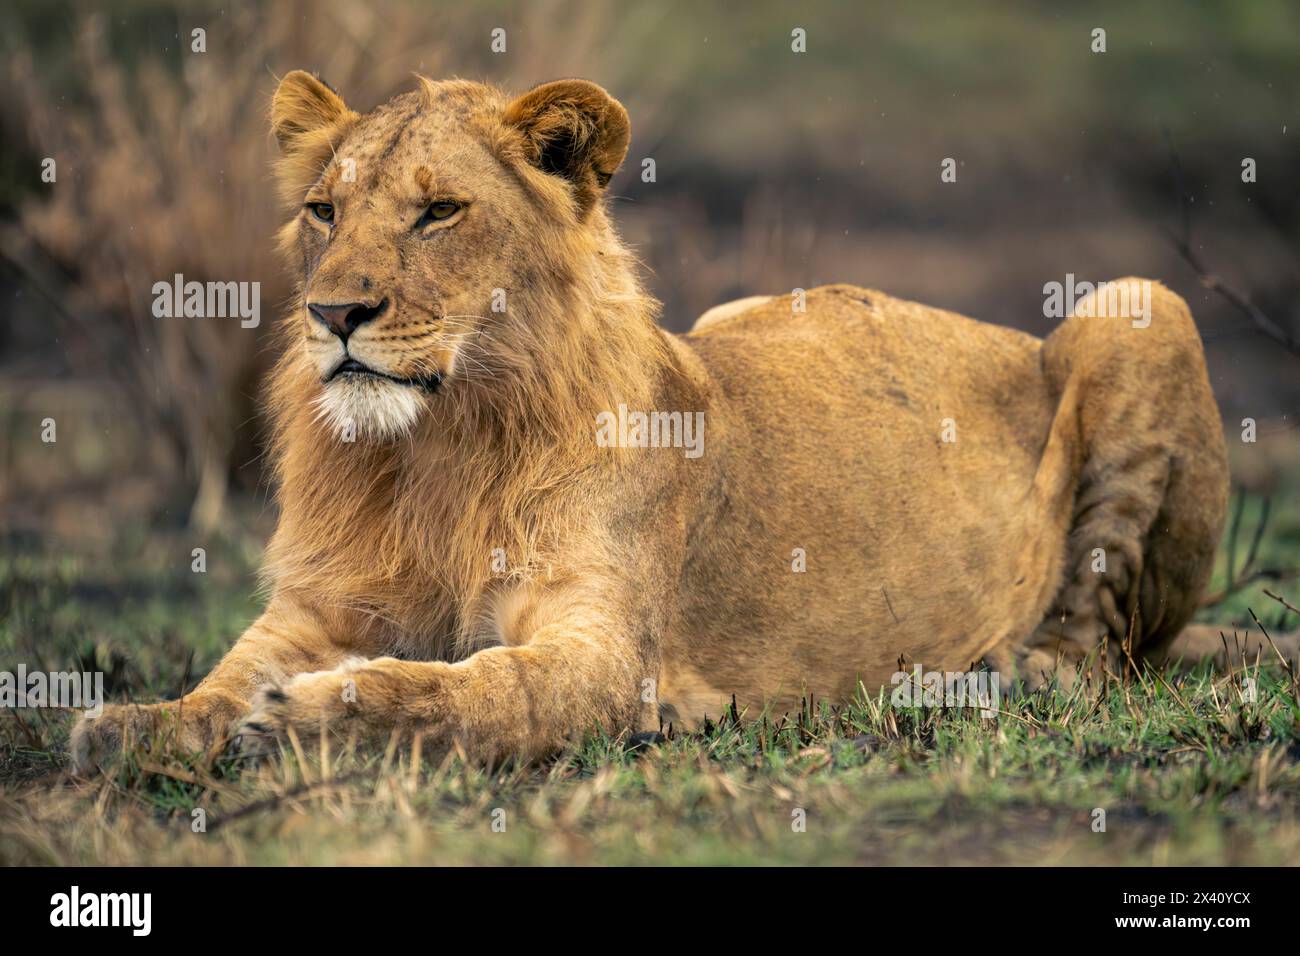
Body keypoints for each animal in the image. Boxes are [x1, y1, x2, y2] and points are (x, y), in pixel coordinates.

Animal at [72, 72, 1255, 772]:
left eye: (439, 211)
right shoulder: (319, 605)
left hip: (1139, 304)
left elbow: (470, 691)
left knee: (1103, 643)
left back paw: (1005, 672)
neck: (436, 451)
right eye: (323, 209)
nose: (333, 314)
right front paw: (133, 722)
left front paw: (310, 715)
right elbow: (224, 675)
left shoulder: (603, 655)